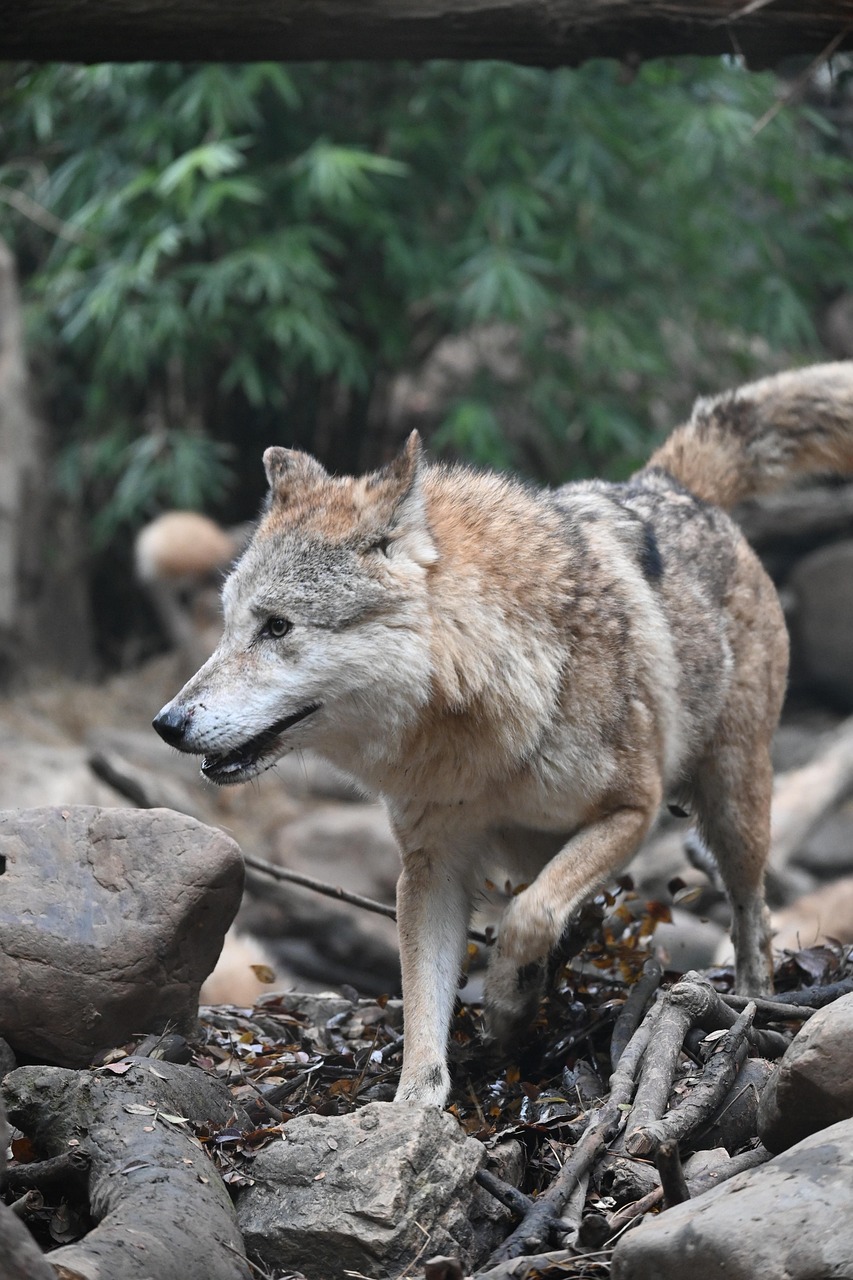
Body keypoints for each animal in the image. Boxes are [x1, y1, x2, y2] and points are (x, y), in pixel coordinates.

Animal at [153, 361, 853, 1107]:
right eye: (229, 626)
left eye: (277, 627)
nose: (166, 724)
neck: (479, 732)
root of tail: (667, 482)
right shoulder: (431, 866)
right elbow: (425, 1005)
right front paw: (413, 1110)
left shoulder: (631, 811)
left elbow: (530, 916)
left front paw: (510, 1006)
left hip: (734, 809)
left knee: (752, 914)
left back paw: (751, 1004)